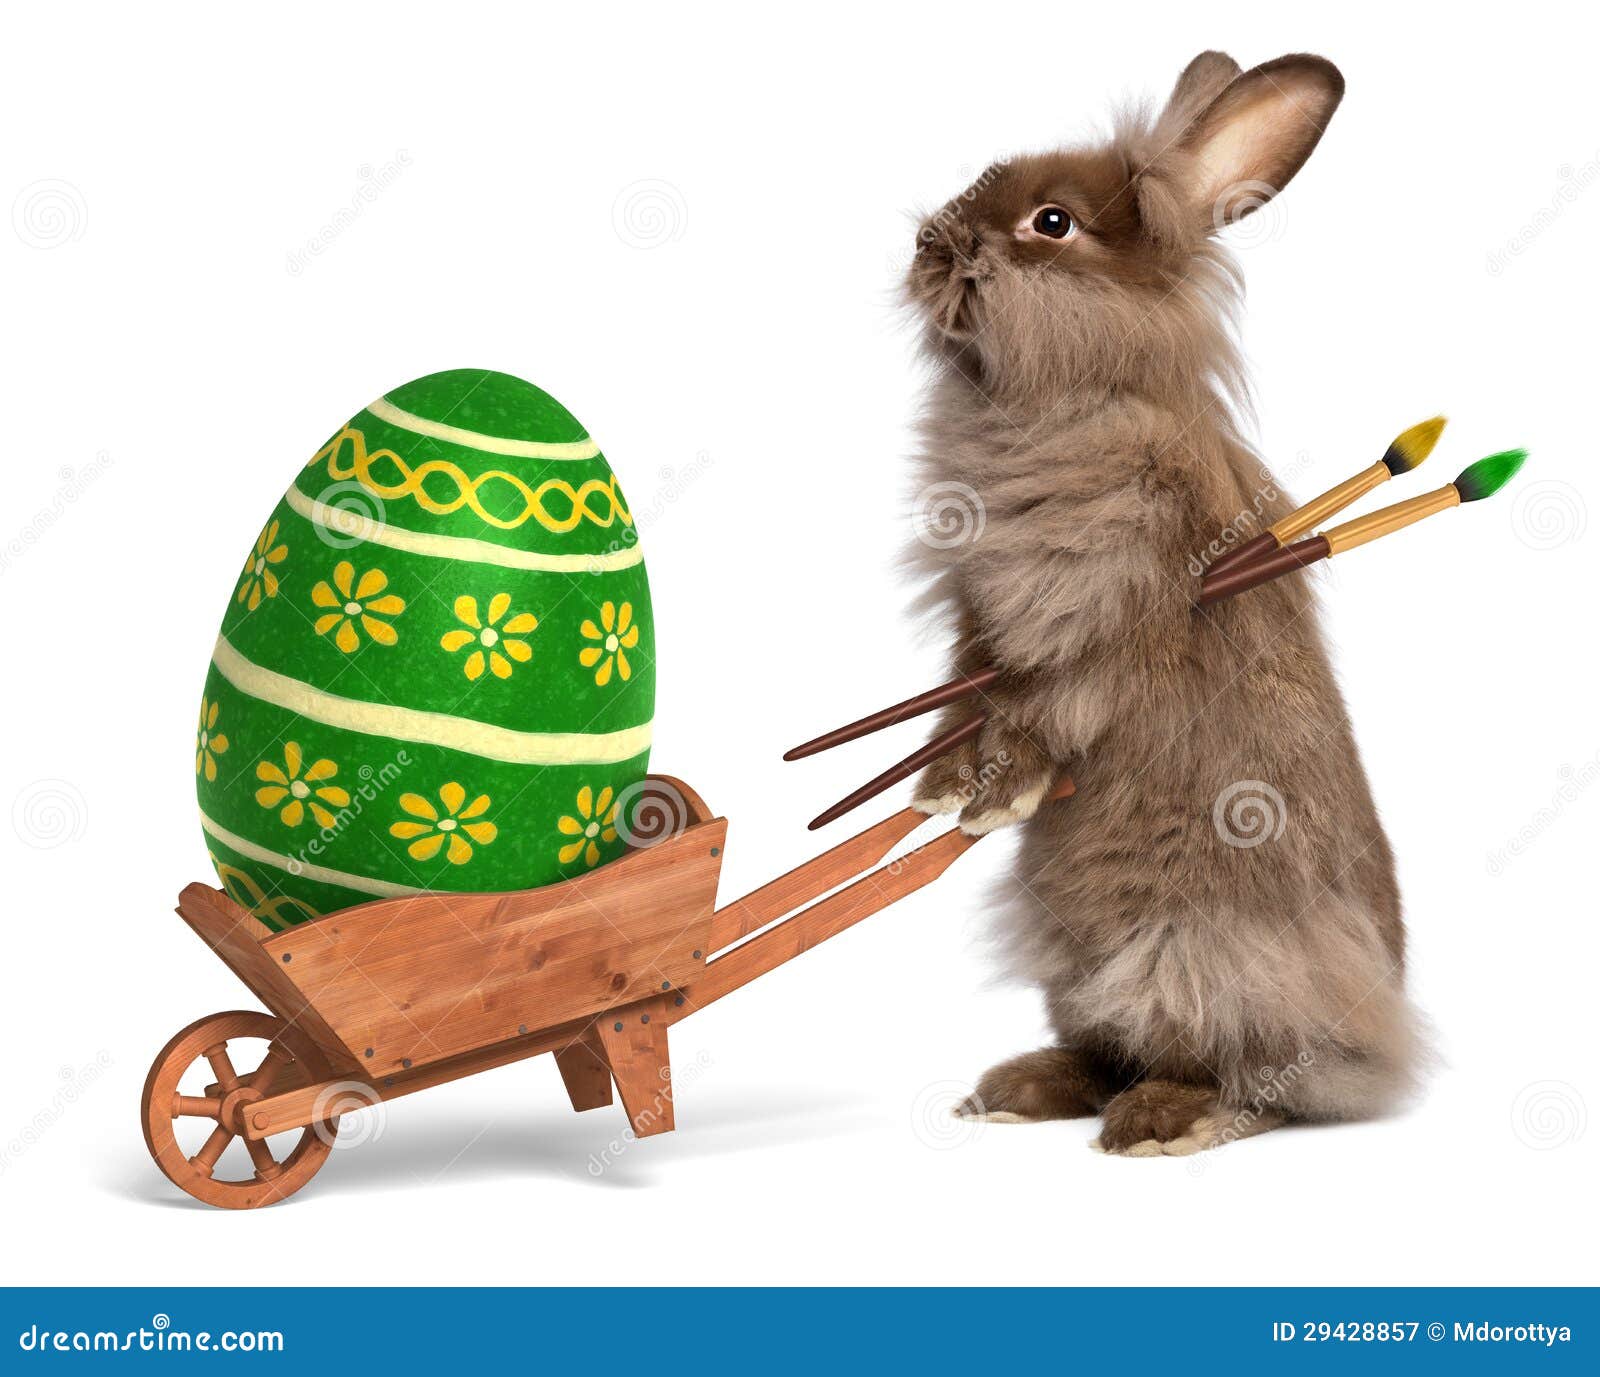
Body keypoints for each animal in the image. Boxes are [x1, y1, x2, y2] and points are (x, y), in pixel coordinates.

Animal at [904, 51, 1425, 1155]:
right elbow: (965, 691)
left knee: (1246, 1076)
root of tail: (1378, 1042)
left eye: (1052, 222)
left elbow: (1048, 707)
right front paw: (938, 789)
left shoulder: (1113, 612)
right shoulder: (978, 615)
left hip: (1194, 953)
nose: (926, 242)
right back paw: (1020, 1089)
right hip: (1074, 958)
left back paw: (1159, 1121)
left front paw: (995, 795)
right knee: (1107, 1045)